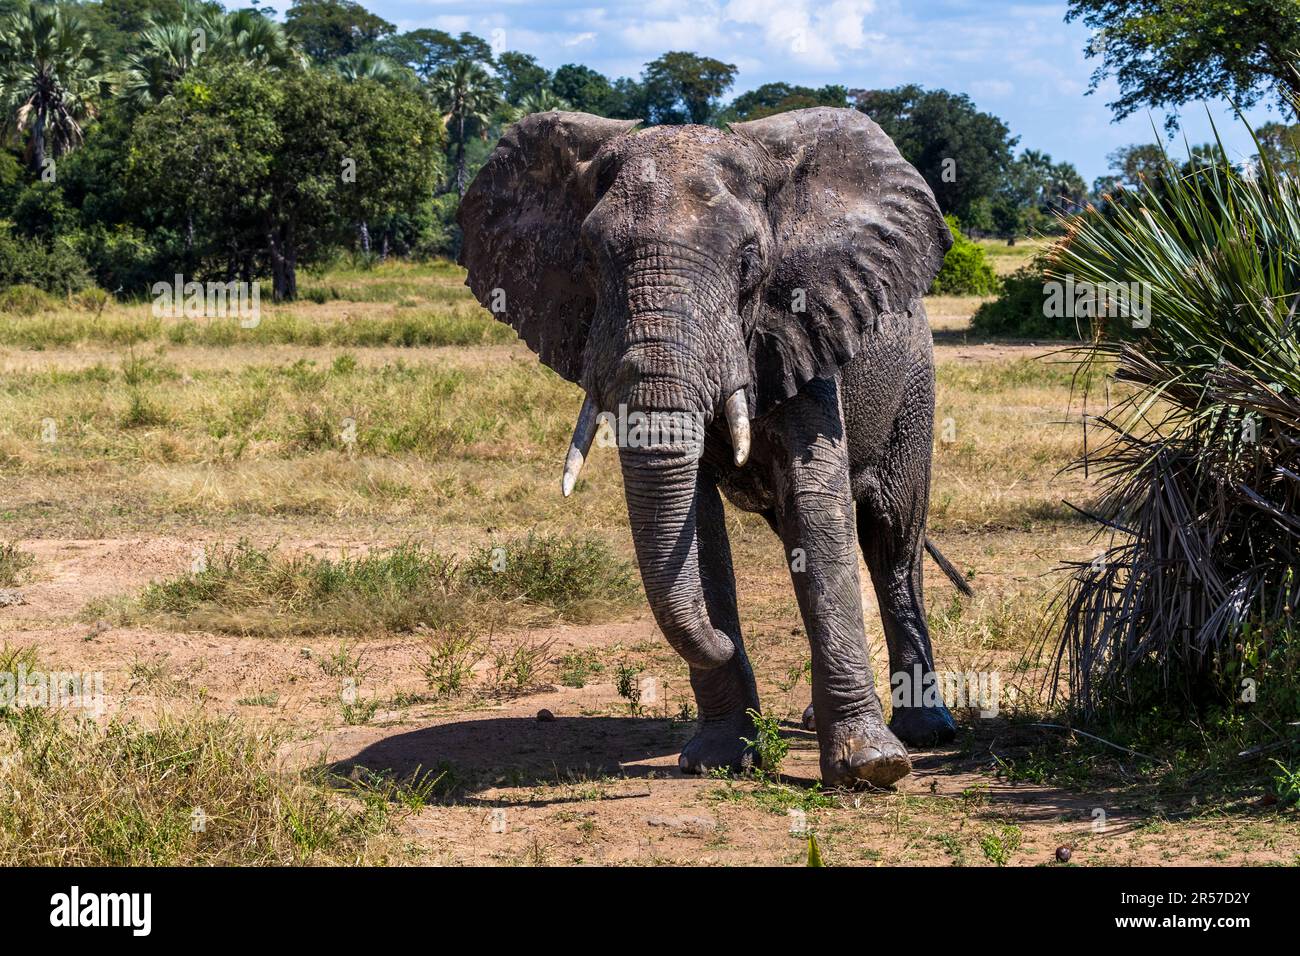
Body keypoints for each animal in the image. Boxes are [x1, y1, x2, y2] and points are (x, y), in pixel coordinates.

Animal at [458, 107, 972, 788]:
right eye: (589, 259)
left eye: (750, 262)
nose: (725, 642)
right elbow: (699, 524)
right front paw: (719, 759)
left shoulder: (803, 325)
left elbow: (817, 502)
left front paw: (870, 769)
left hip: (915, 388)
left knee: (891, 540)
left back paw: (925, 731)